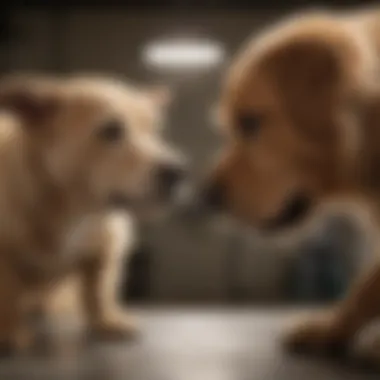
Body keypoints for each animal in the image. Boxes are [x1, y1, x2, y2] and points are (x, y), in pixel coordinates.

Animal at [0, 74, 185, 354]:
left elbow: (100, 288)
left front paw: (107, 321)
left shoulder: (108, 247)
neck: (77, 211)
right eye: (111, 130)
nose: (179, 172)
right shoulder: (5, 256)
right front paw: (10, 331)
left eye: (154, 131)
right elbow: (7, 291)